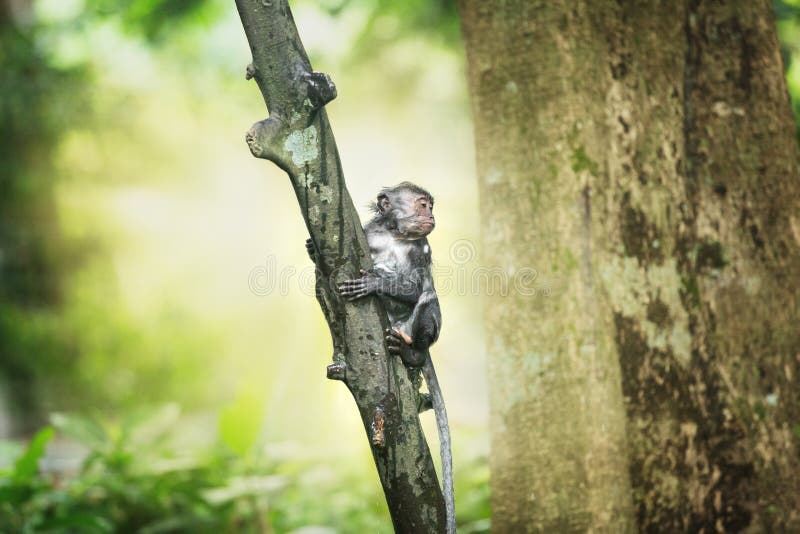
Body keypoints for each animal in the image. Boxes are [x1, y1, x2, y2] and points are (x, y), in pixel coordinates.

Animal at [335, 182, 455, 533]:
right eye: (422, 204)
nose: (431, 214)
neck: (396, 236)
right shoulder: (368, 233)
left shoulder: (422, 248)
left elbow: (417, 288)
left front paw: (376, 281)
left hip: (412, 330)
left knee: (428, 296)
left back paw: (411, 353)